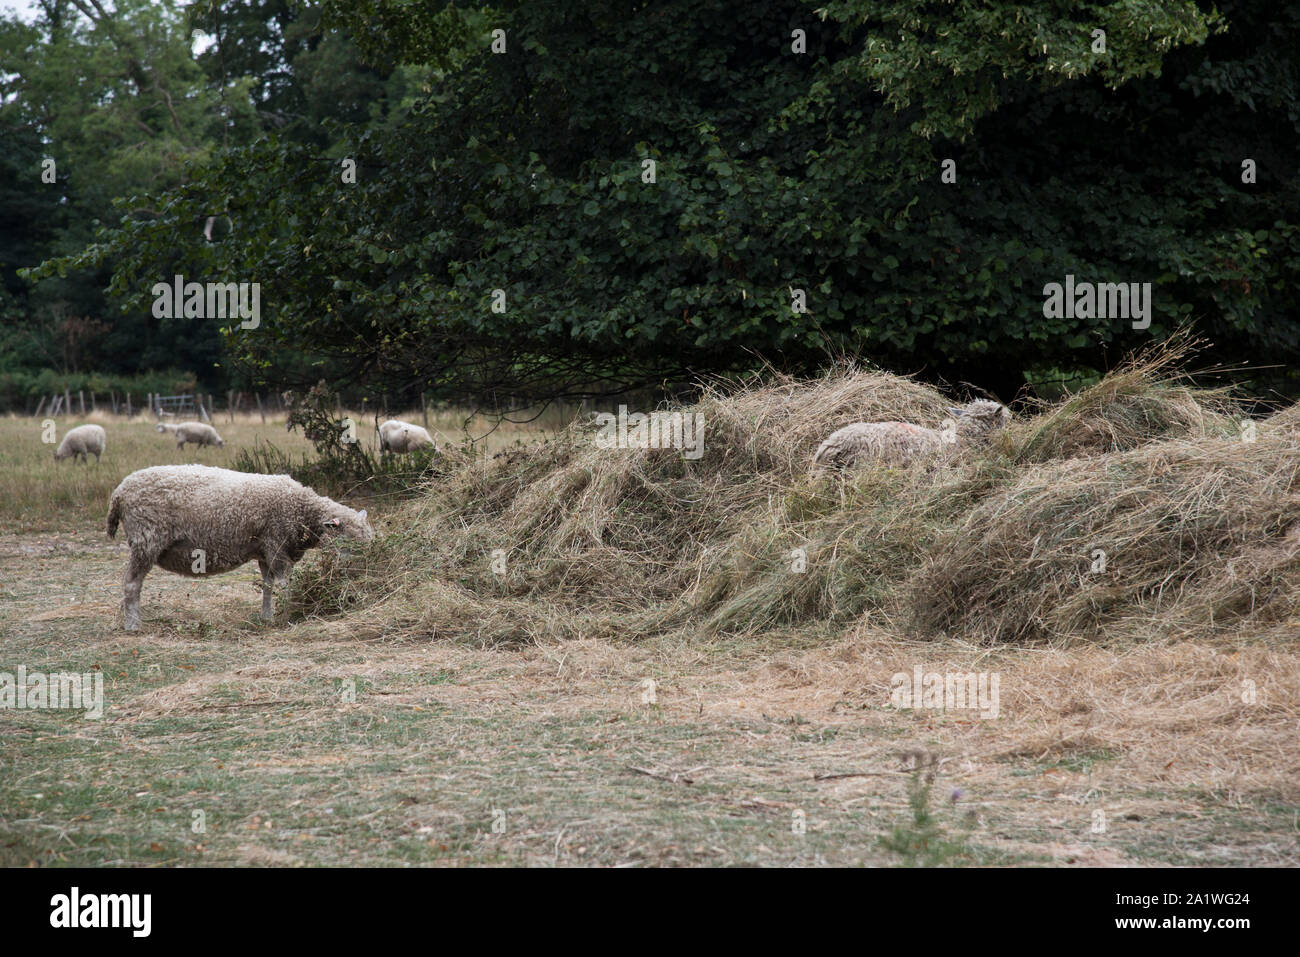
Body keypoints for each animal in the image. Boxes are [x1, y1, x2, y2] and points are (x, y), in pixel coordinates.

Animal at [106, 465, 374, 631]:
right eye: (349, 540)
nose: (364, 572)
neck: (301, 511)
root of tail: (119, 492)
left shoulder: (266, 550)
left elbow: (267, 586)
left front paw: (267, 616)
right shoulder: (277, 544)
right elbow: (284, 584)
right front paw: (289, 613)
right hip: (146, 539)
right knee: (131, 583)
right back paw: (133, 625)